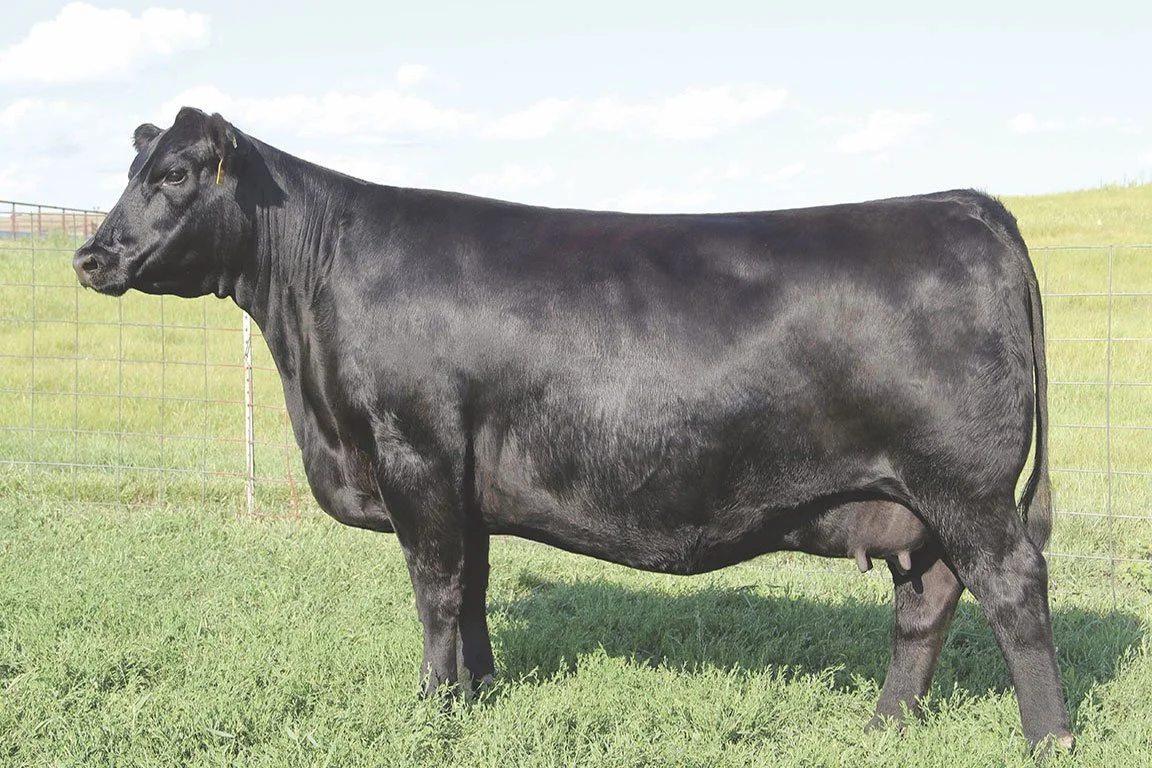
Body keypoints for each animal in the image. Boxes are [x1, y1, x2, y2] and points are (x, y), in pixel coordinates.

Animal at [74, 107, 1072, 753]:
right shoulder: (465, 481)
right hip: (921, 505)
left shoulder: (416, 452)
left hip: (966, 488)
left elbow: (437, 590)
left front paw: (433, 712)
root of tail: (962, 201)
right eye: (130, 172)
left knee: (1013, 591)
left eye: (173, 175)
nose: (90, 255)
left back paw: (1048, 738)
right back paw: (883, 726)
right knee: (927, 603)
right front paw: (476, 696)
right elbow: (473, 589)